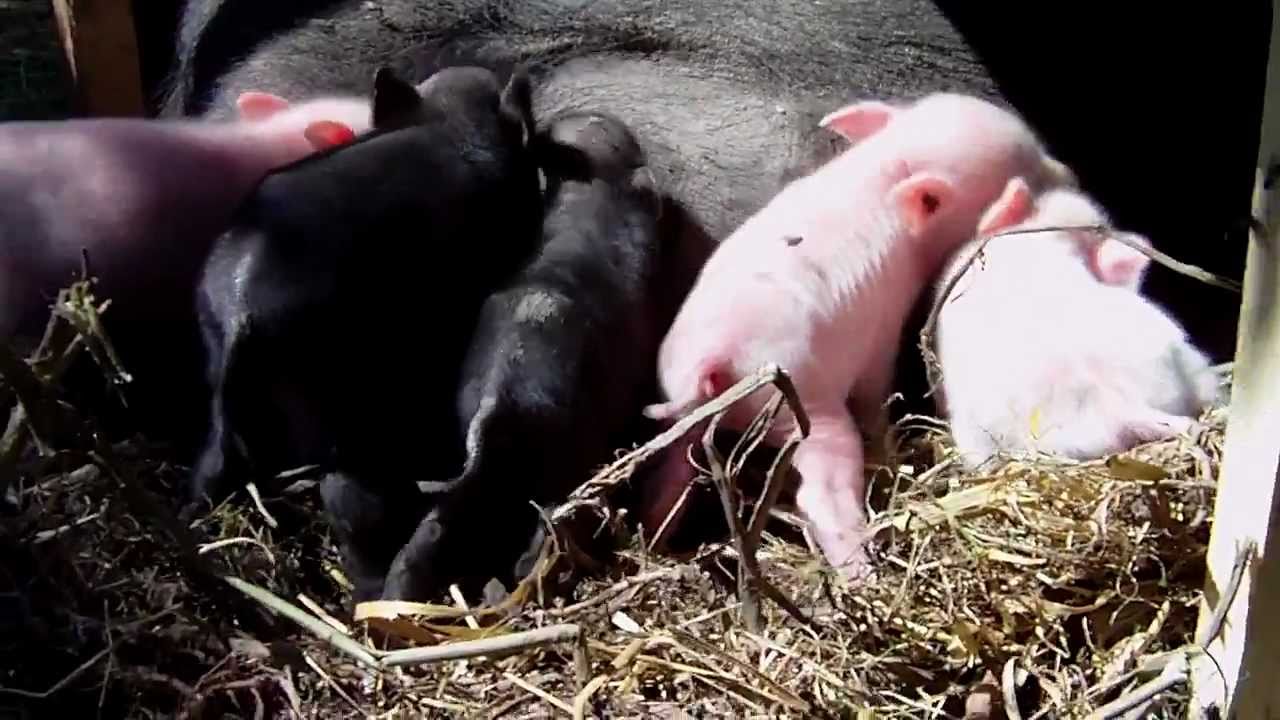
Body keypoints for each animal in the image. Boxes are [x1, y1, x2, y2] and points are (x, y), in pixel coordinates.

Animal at [378, 110, 669, 601]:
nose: (595, 116)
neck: (589, 196)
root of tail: (497, 398)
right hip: (564, 452)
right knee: (542, 530)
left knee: (429, 534)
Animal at [640, 93, 1077, 581]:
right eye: (1022, 170)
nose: (1070, 174)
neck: (886, 168)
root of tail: (712, 359)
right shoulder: (882, 328)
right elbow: (875, 395)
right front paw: (890, 449)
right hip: (804, 408)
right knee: (819, 490)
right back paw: (862, 574)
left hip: (688, 417)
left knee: (674, 469)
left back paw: (654, 538)